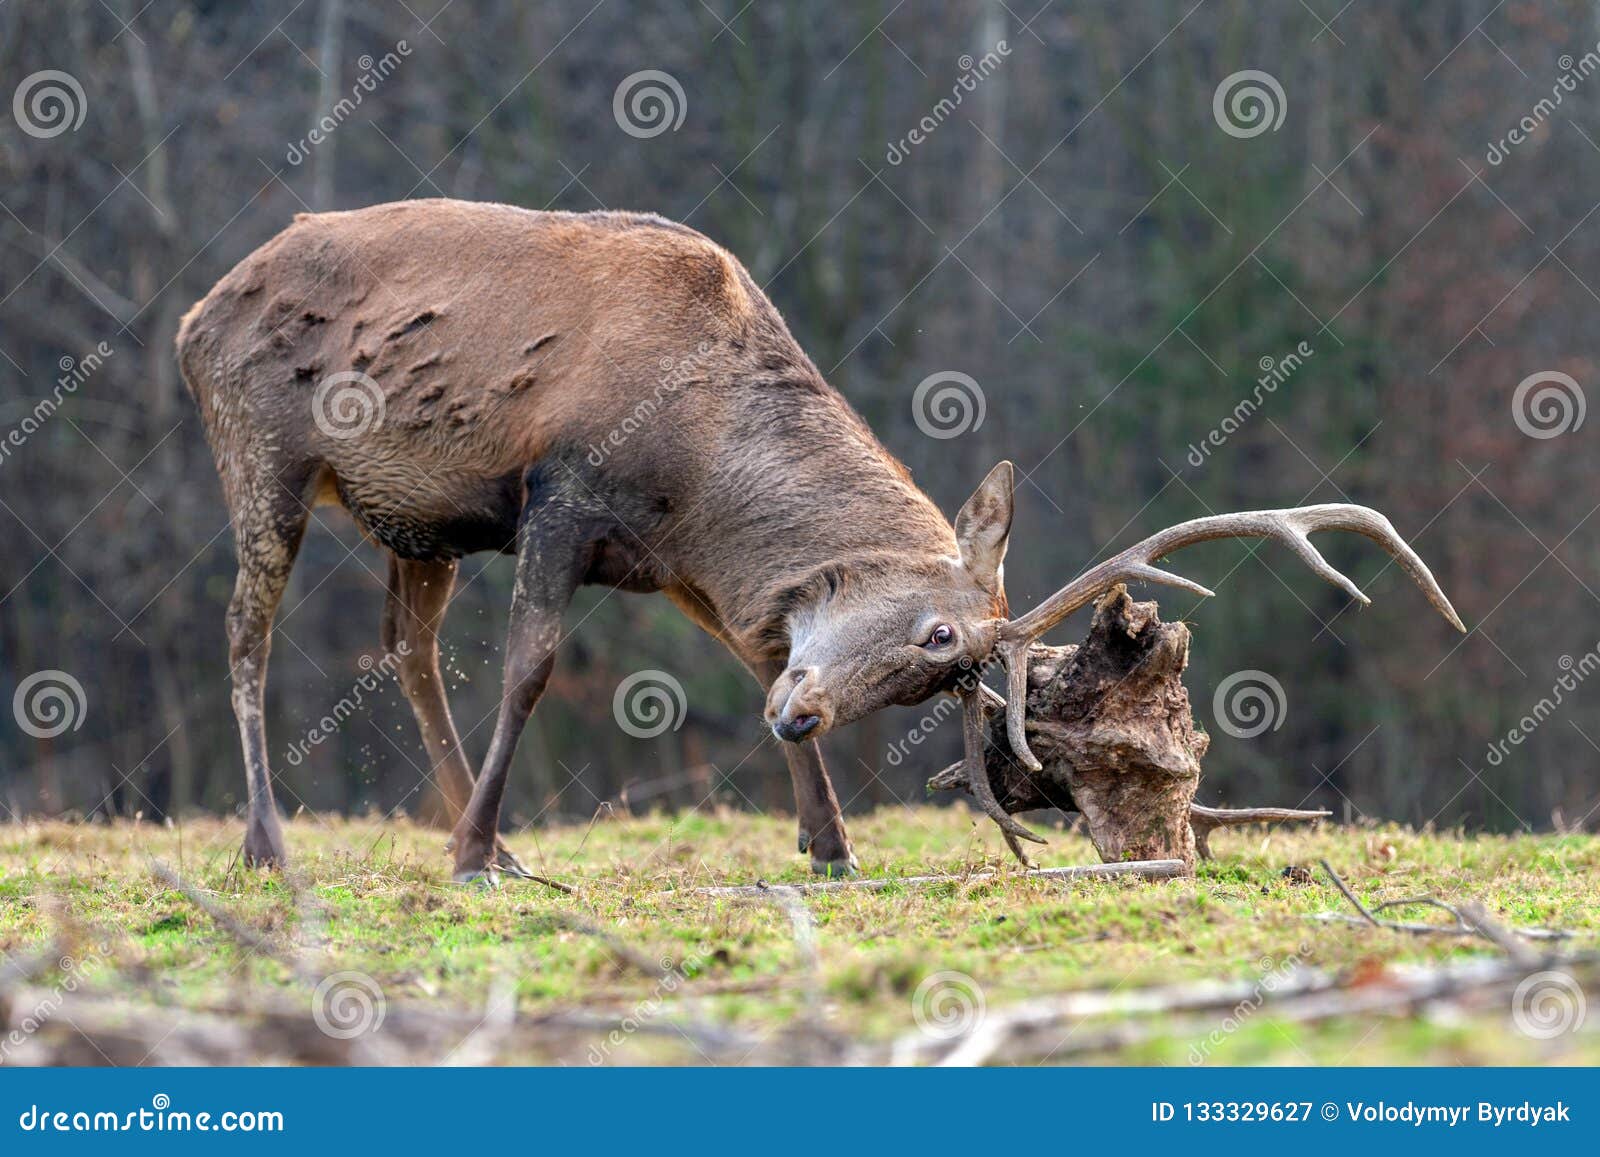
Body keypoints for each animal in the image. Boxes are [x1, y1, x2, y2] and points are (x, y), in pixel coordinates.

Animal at [177, 199, 1465, 883]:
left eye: (937, 684)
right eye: (939, 636)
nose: (807, 715)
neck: (699, 466)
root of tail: (194, 316)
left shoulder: (687, 570)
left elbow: (754, 652)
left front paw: (830, 843)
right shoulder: (560, 493)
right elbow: (531, 666)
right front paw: (477, 846)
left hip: (420, 519)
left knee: (404, 647)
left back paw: (454, 818)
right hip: (261, 445)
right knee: (242, 632)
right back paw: (274, 840)